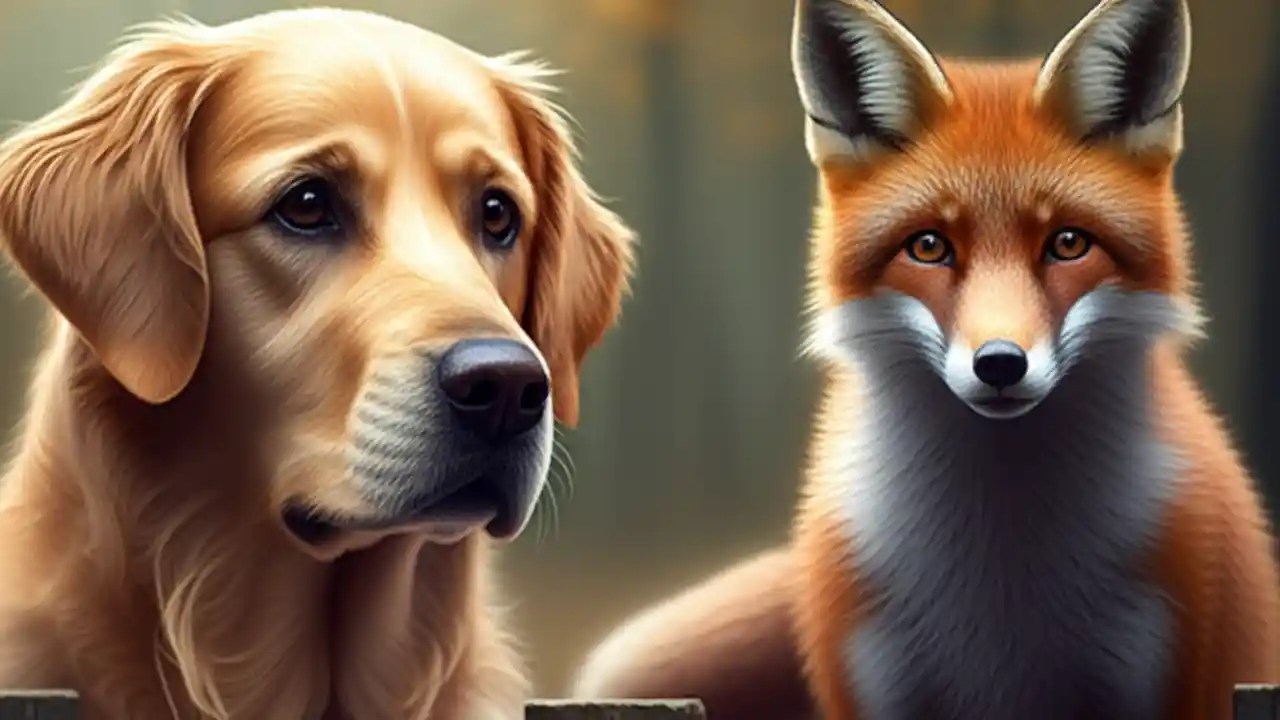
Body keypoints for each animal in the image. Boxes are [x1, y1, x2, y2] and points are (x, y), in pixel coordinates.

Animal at [570, 0, 1280, 719]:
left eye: (1068, 243)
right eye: (930, 246)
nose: (1000, 364)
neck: (1002, 568)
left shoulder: (1170, 673)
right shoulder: (872, 682)